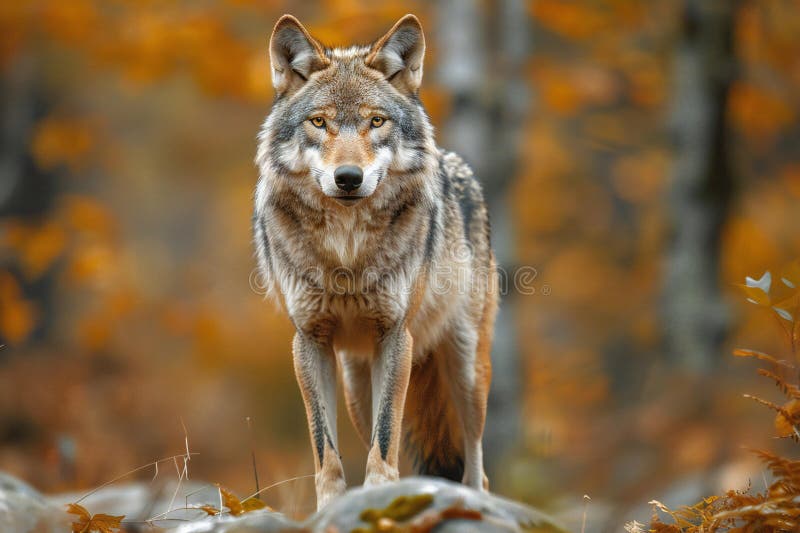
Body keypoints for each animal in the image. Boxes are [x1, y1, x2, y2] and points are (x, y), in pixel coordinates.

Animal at [253, 13, 498, 509]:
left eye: (376, 121)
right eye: (320, 122)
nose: (348, 178)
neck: (347, 253)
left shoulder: (395, 336)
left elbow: (385, 441)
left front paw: (378, 499)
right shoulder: (309, 341)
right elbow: (326, 448)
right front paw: (333, 508)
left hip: (466, 370)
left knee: (477, 469)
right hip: (355, 382)